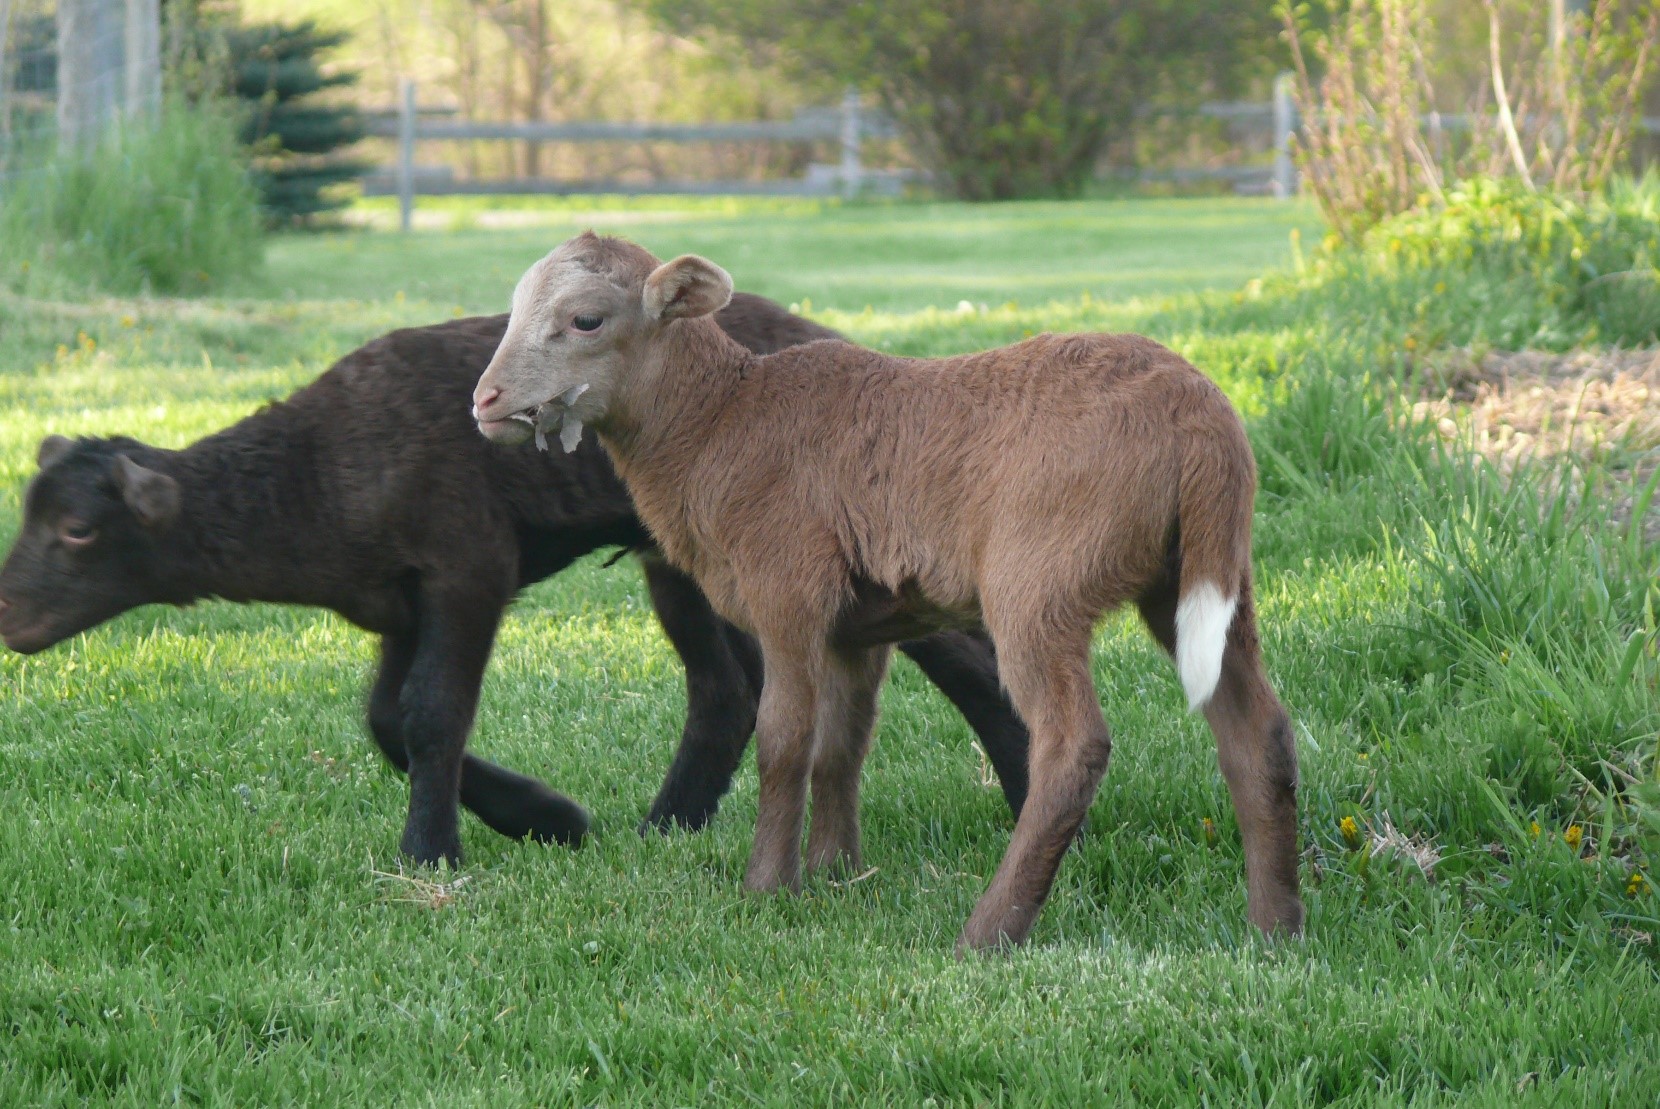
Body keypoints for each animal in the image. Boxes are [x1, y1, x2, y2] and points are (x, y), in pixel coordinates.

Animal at [0, 302, 1032, 867]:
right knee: (726, 691)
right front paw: (548, 821)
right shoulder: (397, 597)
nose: (7, 617)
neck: (310, 478)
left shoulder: (467, 562)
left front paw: (435, 852)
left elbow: (430, 714)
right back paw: (664, 827)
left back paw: (1026, 789)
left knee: (959, 652)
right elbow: (386, 719)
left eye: (78, 529)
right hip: (685, 560)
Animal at [472, 232, 1303, 950]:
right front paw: (836, 873)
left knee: (1074, 747)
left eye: (586, 318)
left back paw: (988, 933)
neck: (717, 425)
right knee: (1254, 728)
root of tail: (1200, 421)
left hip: (1041, 577)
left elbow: (784, 741)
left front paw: (767, 888)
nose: (485, 400)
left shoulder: (789, 591)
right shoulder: (857, 625)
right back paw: (1273, 927)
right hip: (1201, 577)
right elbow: (843, 745)